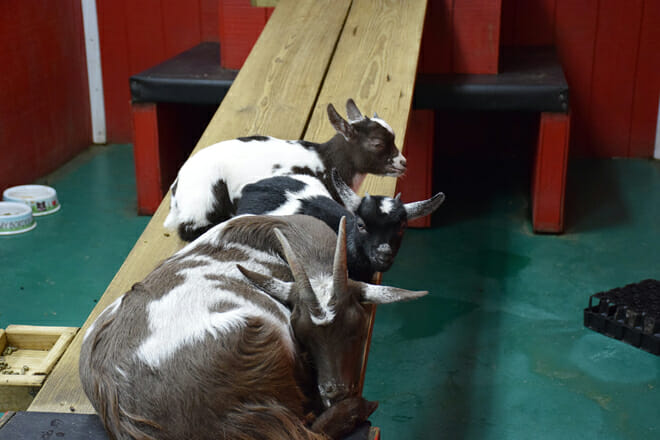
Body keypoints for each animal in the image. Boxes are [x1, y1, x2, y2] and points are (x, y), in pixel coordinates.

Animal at [164, 99, 407, 242]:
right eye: (377, 143)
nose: (403, 163)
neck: (326, 160)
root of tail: (177, 187)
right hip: (204, 200)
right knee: (189, 231)